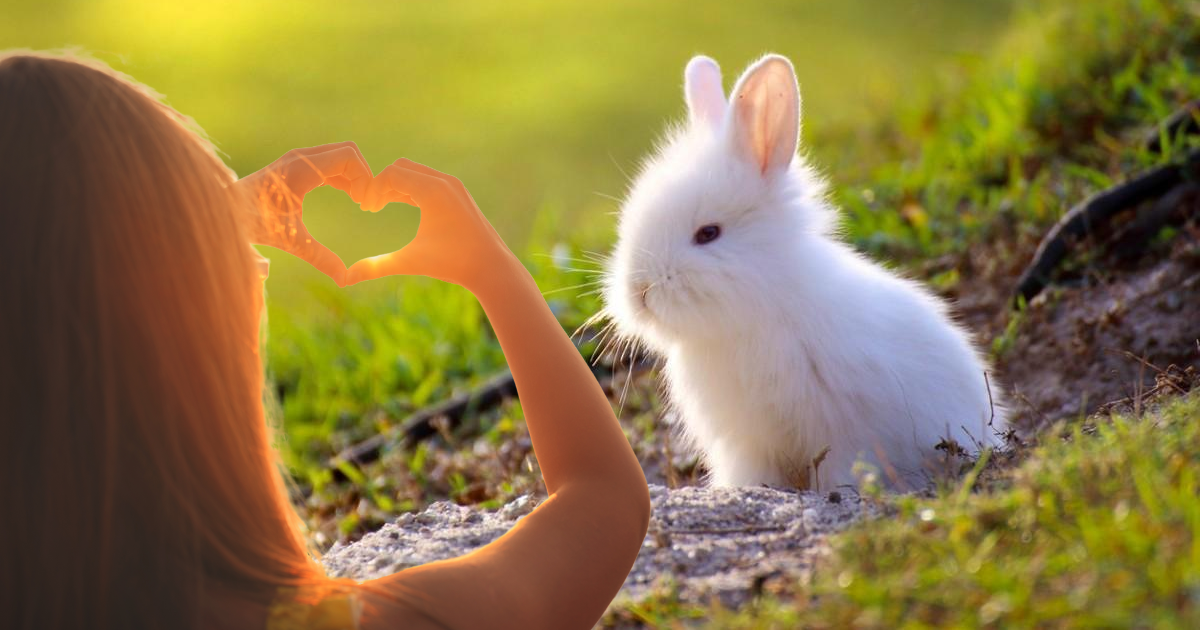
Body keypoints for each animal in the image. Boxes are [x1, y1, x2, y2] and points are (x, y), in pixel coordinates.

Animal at [597, 53, 1009, 492]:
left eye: (708, 233)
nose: (639, 292)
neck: (753, 316)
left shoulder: (847, 431)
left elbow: (843, 468)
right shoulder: (747, 445)